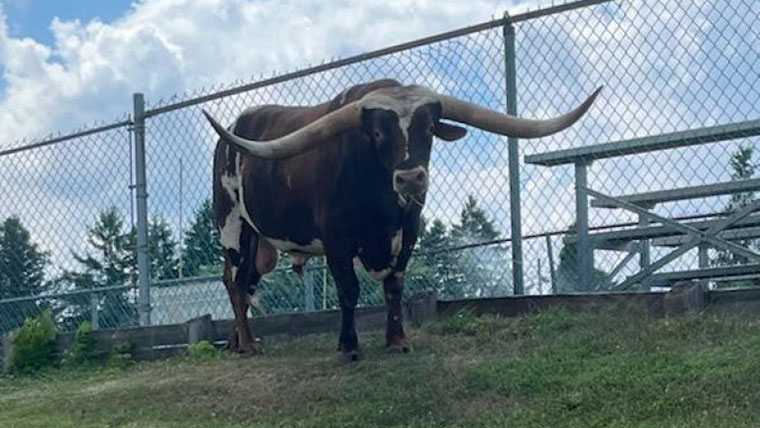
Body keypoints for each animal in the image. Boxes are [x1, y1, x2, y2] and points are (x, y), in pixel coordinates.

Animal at [202, 79, 601, 361]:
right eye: (378, 132)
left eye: (430, 129)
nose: (410, 179)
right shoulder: (336, 239)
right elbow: (349, 290)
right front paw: (348, 346)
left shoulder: (408, 233)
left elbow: (395, 286)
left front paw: (397, 340)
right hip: (233, 228)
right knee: (236, 284)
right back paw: (248, 345)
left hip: (259, 243)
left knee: (246, 284)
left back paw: (239, 343)